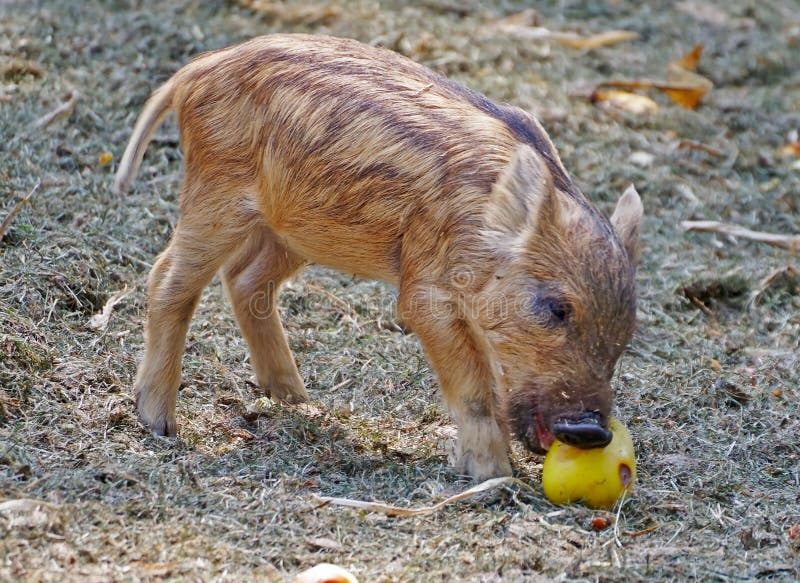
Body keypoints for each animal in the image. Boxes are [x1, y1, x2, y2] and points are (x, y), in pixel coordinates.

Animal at [115, 34, 643, 481]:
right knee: (168, 278)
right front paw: (492, 477)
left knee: (246, 281)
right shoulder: (425, 290)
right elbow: (472, 382)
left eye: (628, 327)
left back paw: (297, 401)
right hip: (217, 194)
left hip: (294, 231)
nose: (591, 431)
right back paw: (159, 424)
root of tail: (197, 71)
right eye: (557, 308)